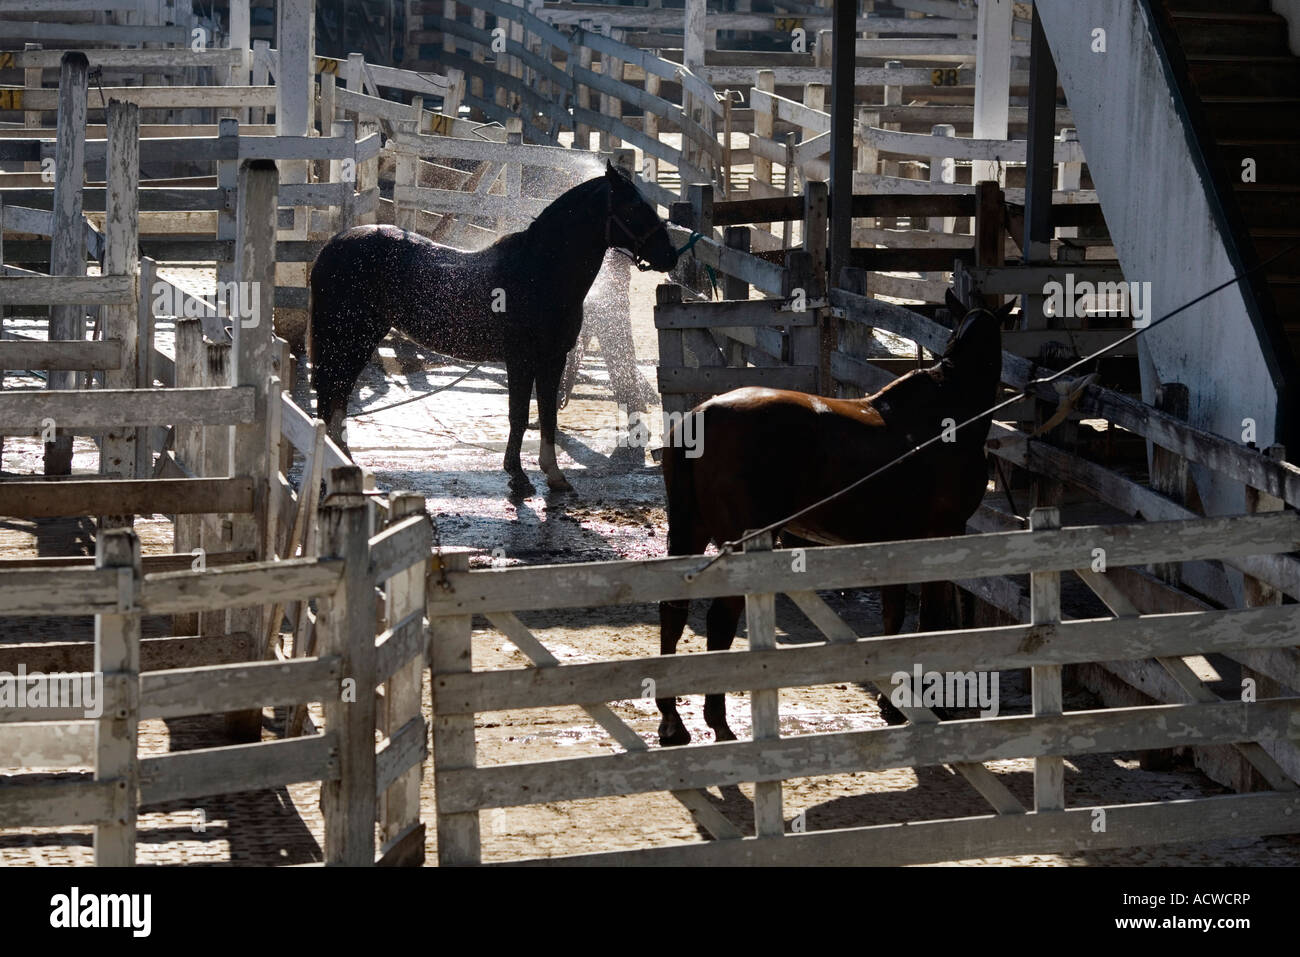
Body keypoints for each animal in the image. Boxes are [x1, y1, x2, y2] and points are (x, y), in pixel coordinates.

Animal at [308, 161, 678, 496]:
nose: (671, 256)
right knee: (332, 392)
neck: (539, 273)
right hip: (350, 337)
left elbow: (547, 415)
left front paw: (554, 476)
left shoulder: (553, 359)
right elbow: (518, 416)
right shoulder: (520, 360)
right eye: (633, 207)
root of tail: (334, 245)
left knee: (337, 393)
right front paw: (518, 476)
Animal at [656, 289, 1012, 746]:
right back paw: (718, 721)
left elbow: (893, 614)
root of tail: (703, 414)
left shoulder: (895, 542)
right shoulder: (941, 534)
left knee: (674, 611)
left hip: (689, 531)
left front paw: (893, 703)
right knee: (719, 621)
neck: (948, 414)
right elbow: (930, 619)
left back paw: (672, 720)